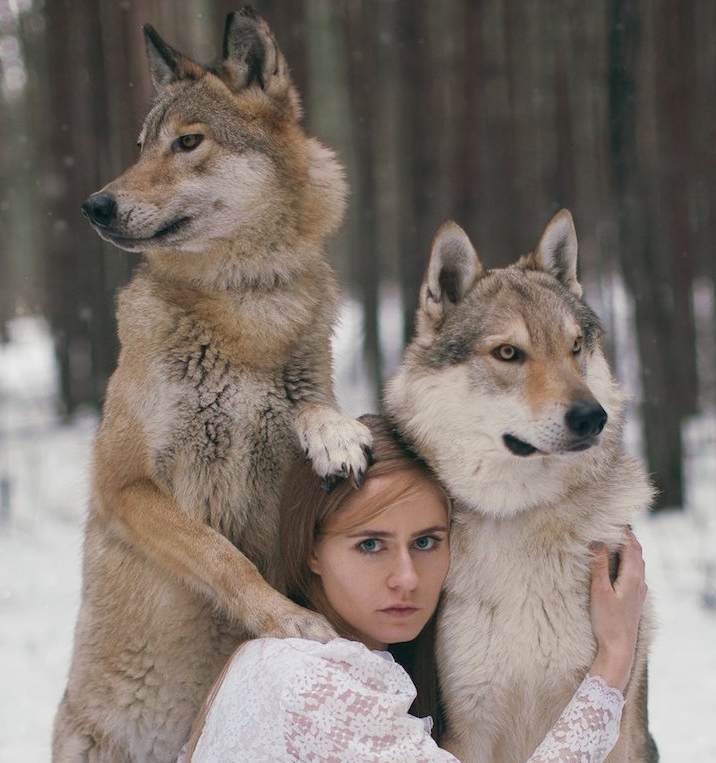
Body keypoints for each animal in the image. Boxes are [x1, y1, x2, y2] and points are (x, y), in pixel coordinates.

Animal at [52, 9, 372, 763]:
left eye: (188, 142)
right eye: (141, 146)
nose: (94, 204)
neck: (245, 305)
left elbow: (312, 405)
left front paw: (336, 434)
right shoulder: (127, 485)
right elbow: (220, 555)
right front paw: (287, 618)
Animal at [385, 210, 658, 763]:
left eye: (575, 348)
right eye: (509, 353)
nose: (592, 417)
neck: (523, 516)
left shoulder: (615, 723)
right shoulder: (467, 731)